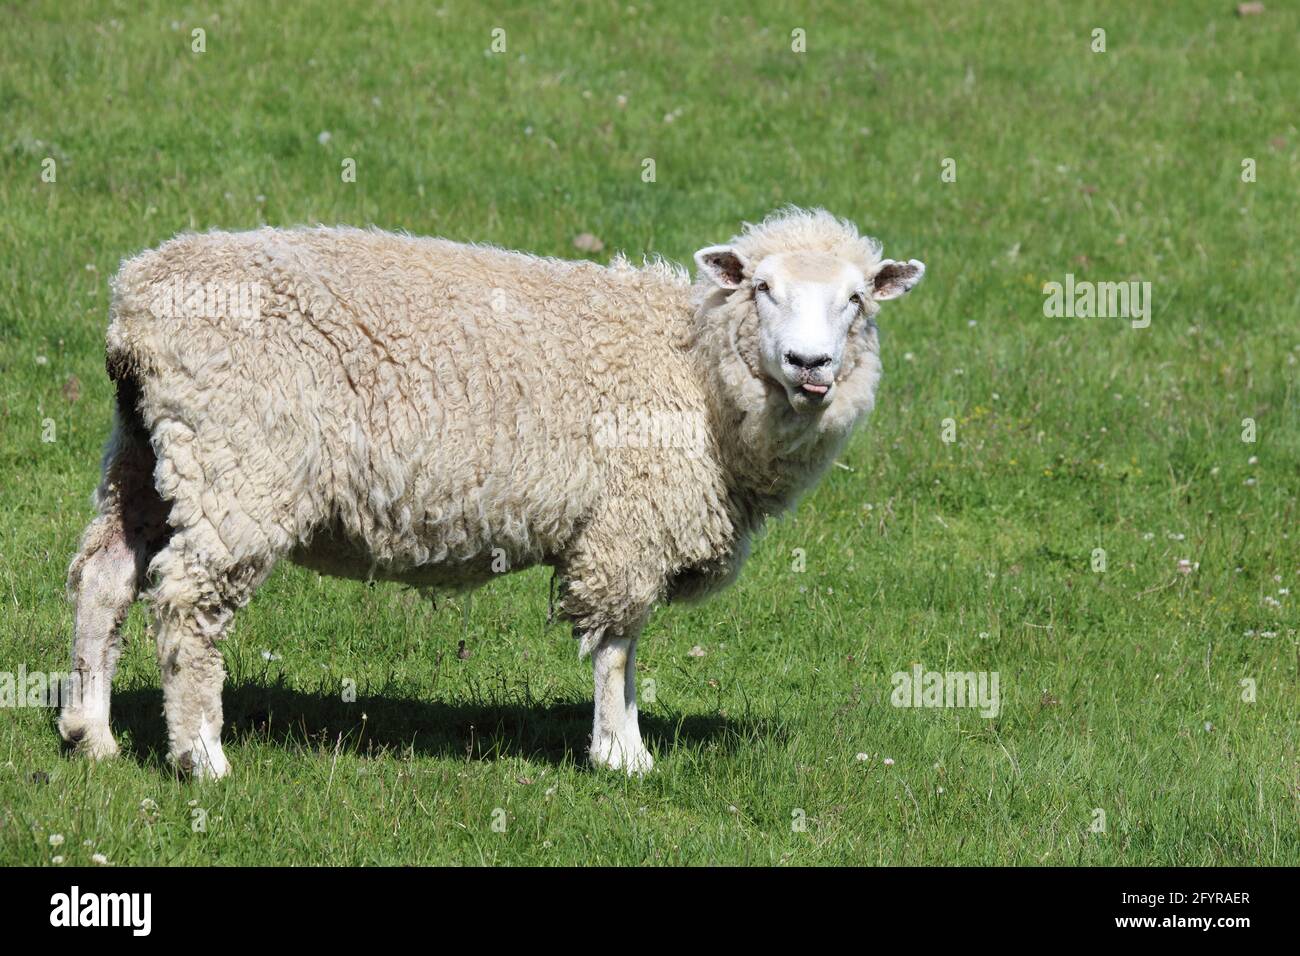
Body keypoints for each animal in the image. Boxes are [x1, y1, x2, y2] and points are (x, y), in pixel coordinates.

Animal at [58, 207, 925, 778]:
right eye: (763, 289)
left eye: (857, 299)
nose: (811, 365)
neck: (695, 369)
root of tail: (135, 301)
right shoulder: (627, 525)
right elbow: (619, 644)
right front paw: (621, 754)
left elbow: (627, 645)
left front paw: (625, 746)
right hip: (239, 463)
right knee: (186, 604)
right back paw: (201, 756)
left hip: (149, 452)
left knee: (104, 580)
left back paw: (90, 735)